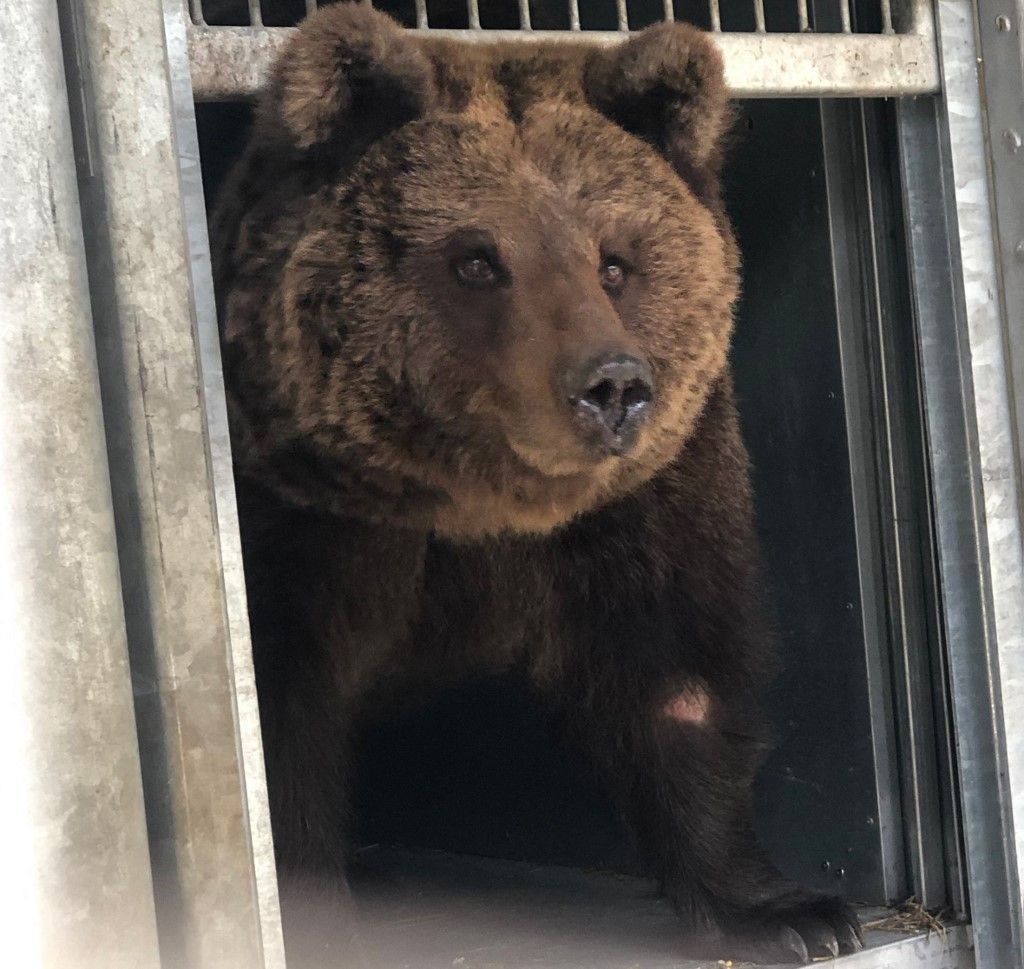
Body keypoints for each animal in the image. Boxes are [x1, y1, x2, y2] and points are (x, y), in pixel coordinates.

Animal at [210, 4, 864, 964]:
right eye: (479, 258)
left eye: (615, 261)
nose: (611, 386)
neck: (468, 498)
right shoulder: (301, 521)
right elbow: (281, 713)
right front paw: (310, 910)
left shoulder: (637, 503)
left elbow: (671, 667)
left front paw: (794, 910)